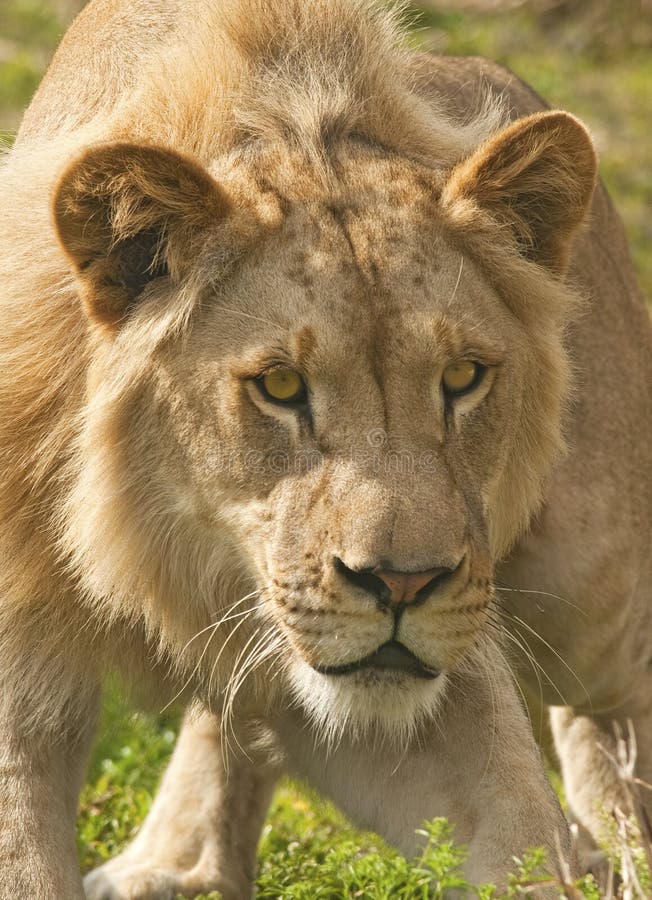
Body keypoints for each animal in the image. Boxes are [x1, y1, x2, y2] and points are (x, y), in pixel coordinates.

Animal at [0, 1, 650, 897]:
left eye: (463, 376)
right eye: (279, 386)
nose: (403, 584)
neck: (169, 559)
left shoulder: (437, 667)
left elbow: (519, 827)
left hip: (587, 586)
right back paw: (178, 866)